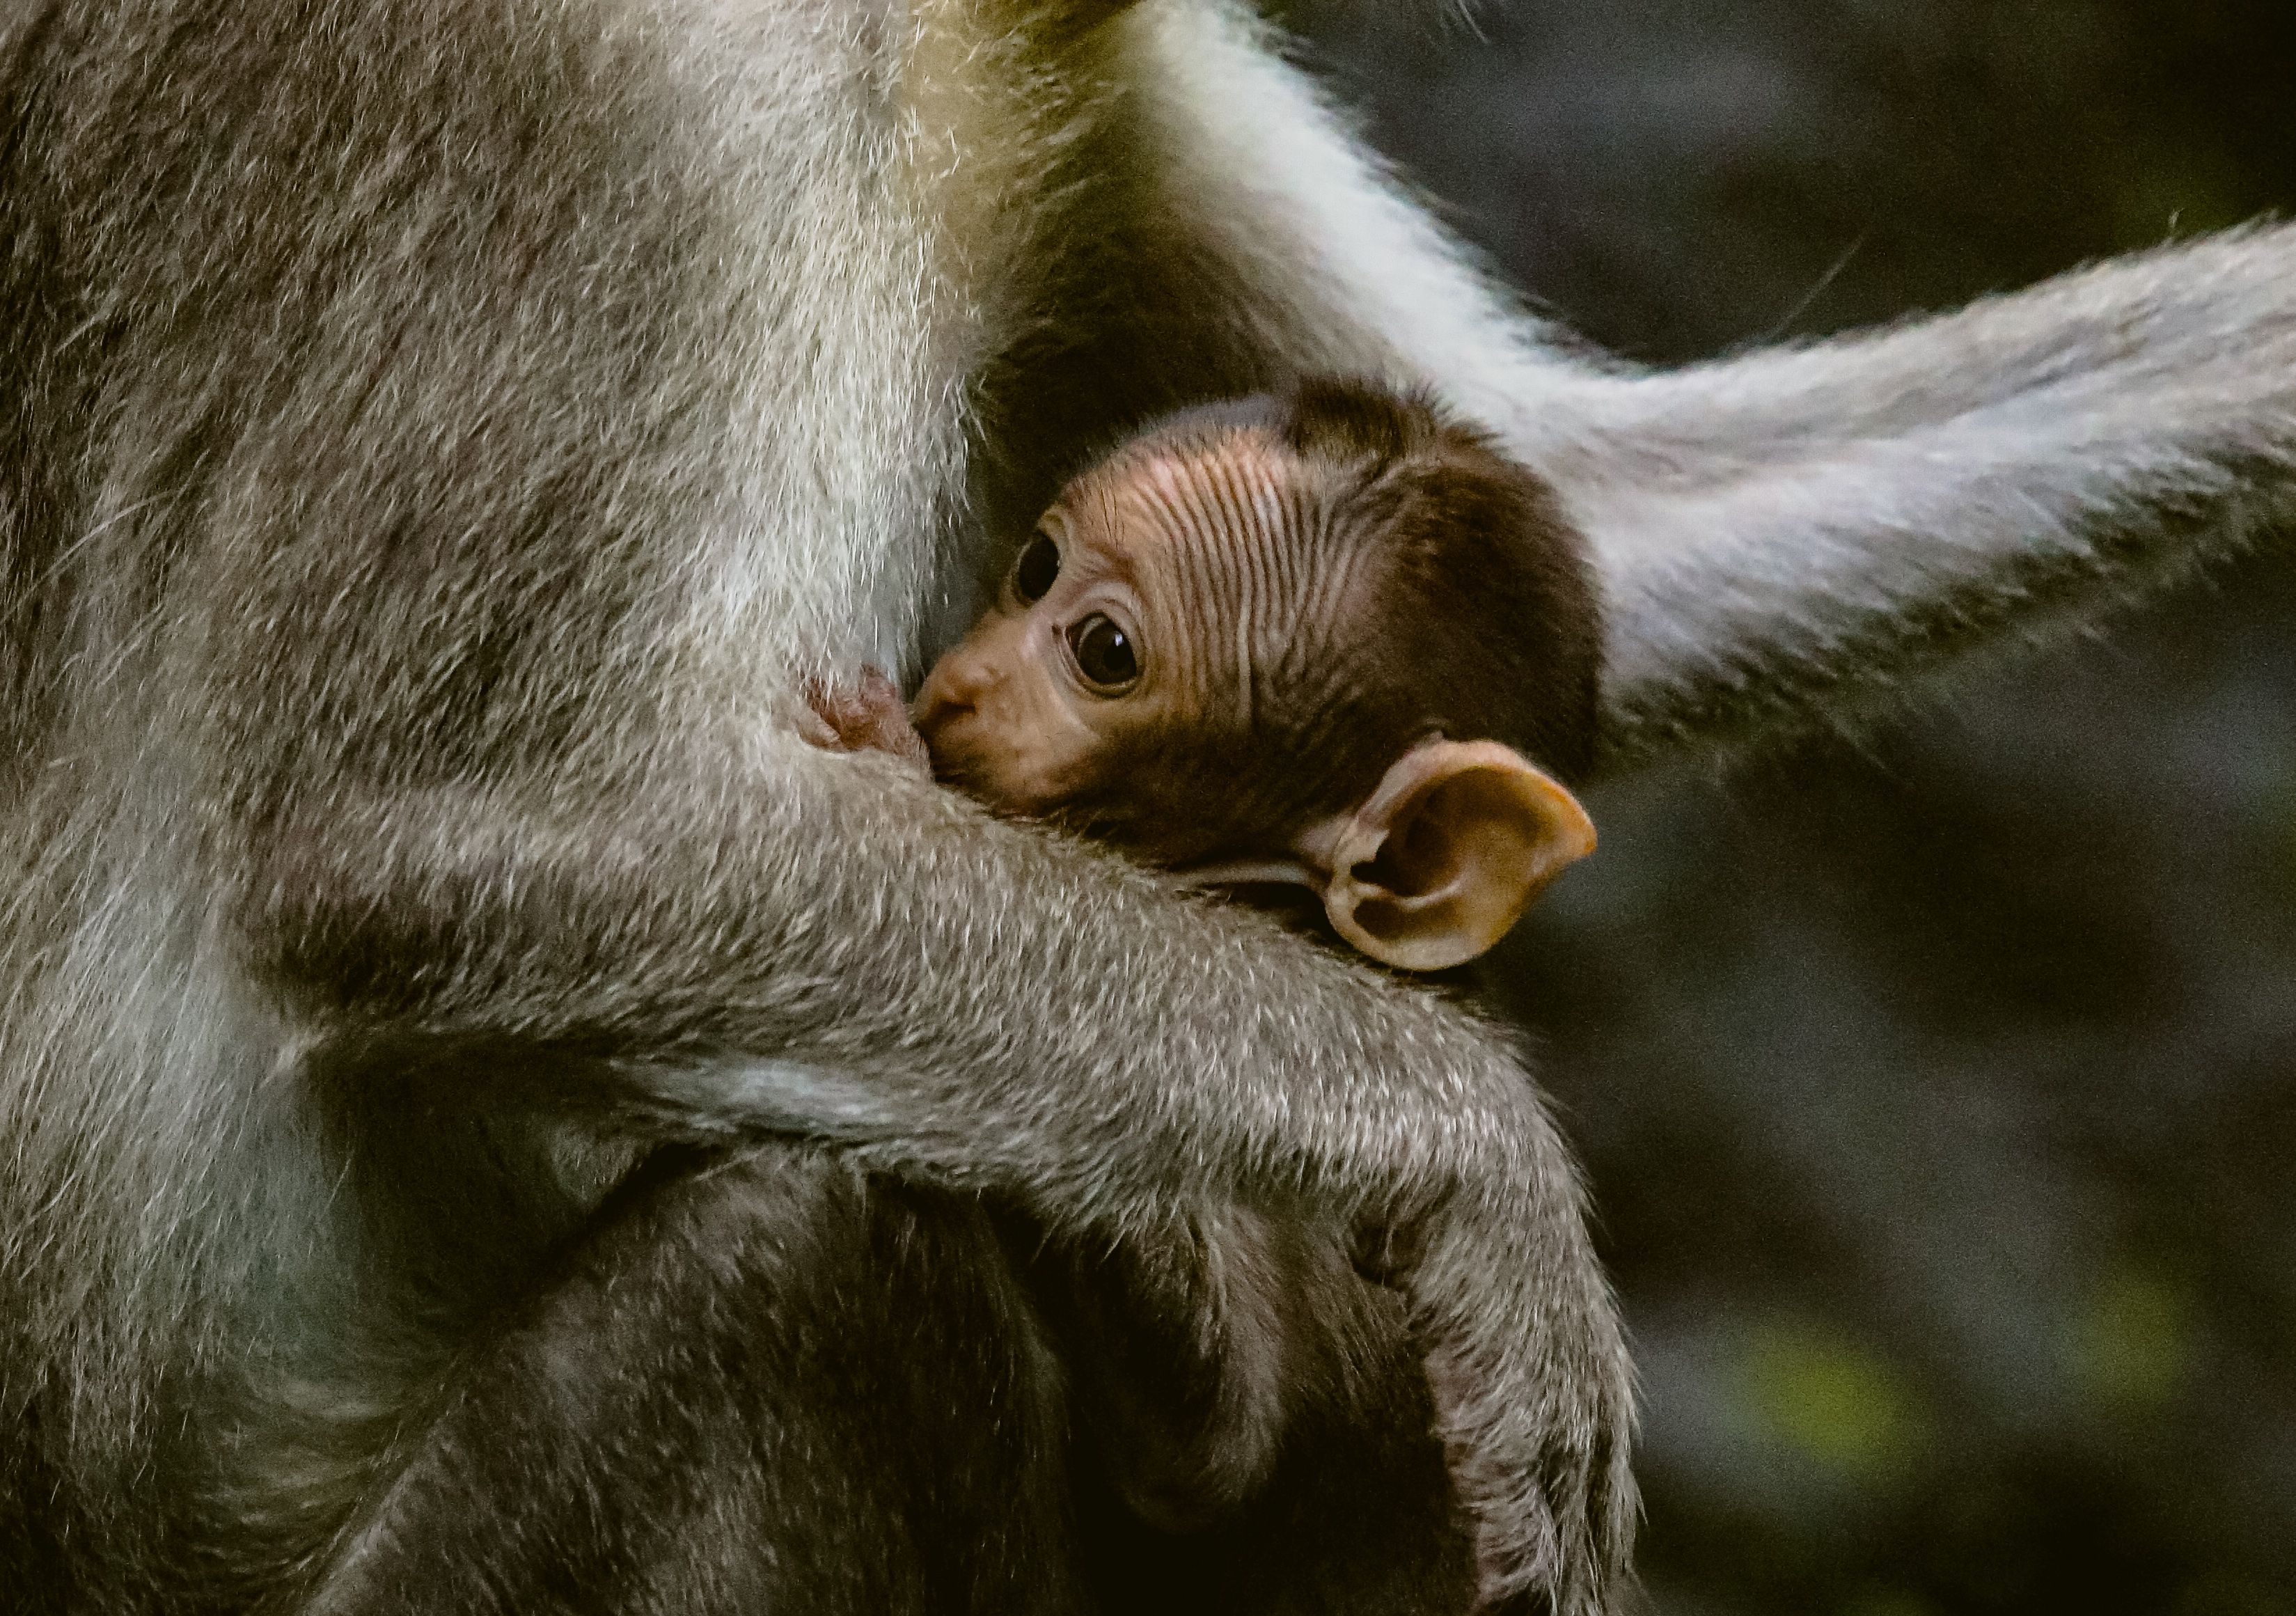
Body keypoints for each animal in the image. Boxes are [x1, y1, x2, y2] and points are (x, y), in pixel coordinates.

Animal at [7, 3, 2296, 1615]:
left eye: (1089, 629)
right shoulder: (644, 77)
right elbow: (447, 837)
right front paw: (1479, 1178)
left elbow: (1596, 532)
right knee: (808, 1258)